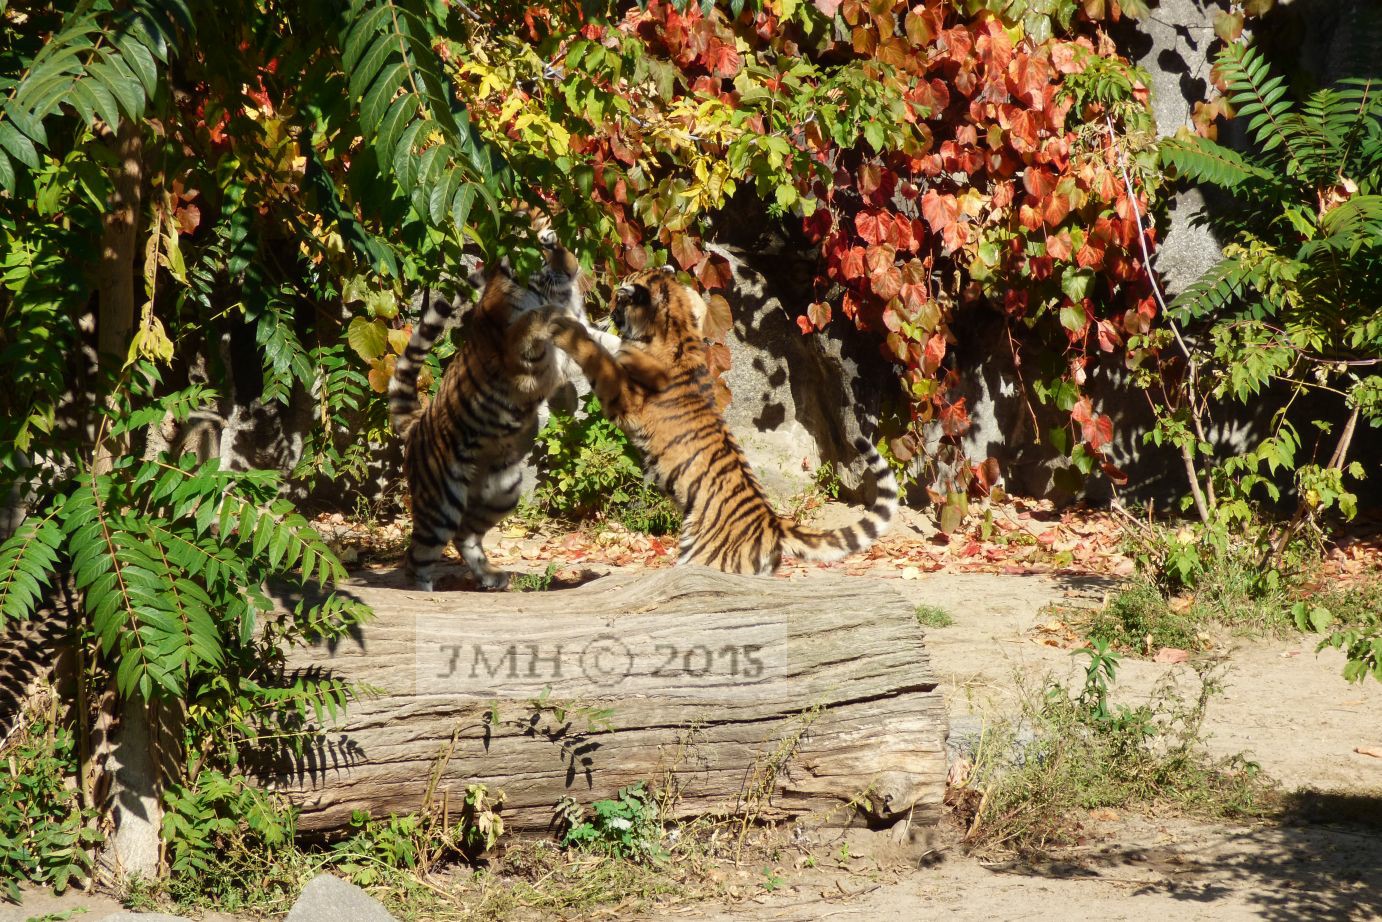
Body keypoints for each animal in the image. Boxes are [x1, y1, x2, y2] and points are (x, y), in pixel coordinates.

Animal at [389, 229, 597, 590]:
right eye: (544, 251)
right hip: (439, 504)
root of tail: (414, 424)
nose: (574, 268)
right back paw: (426, 592)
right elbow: (534, 321)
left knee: (465, 535)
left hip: (504, 491)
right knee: (416, 558)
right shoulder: (519, 352)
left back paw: (490, 577)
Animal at [547, 266, 899, 576]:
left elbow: (596, 355)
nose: (606, 311)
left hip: (705, 559)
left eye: (619, 299)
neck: (675, 326)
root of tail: (773, 523)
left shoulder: (626, 398)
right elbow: (609, 343)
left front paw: (564, 328)